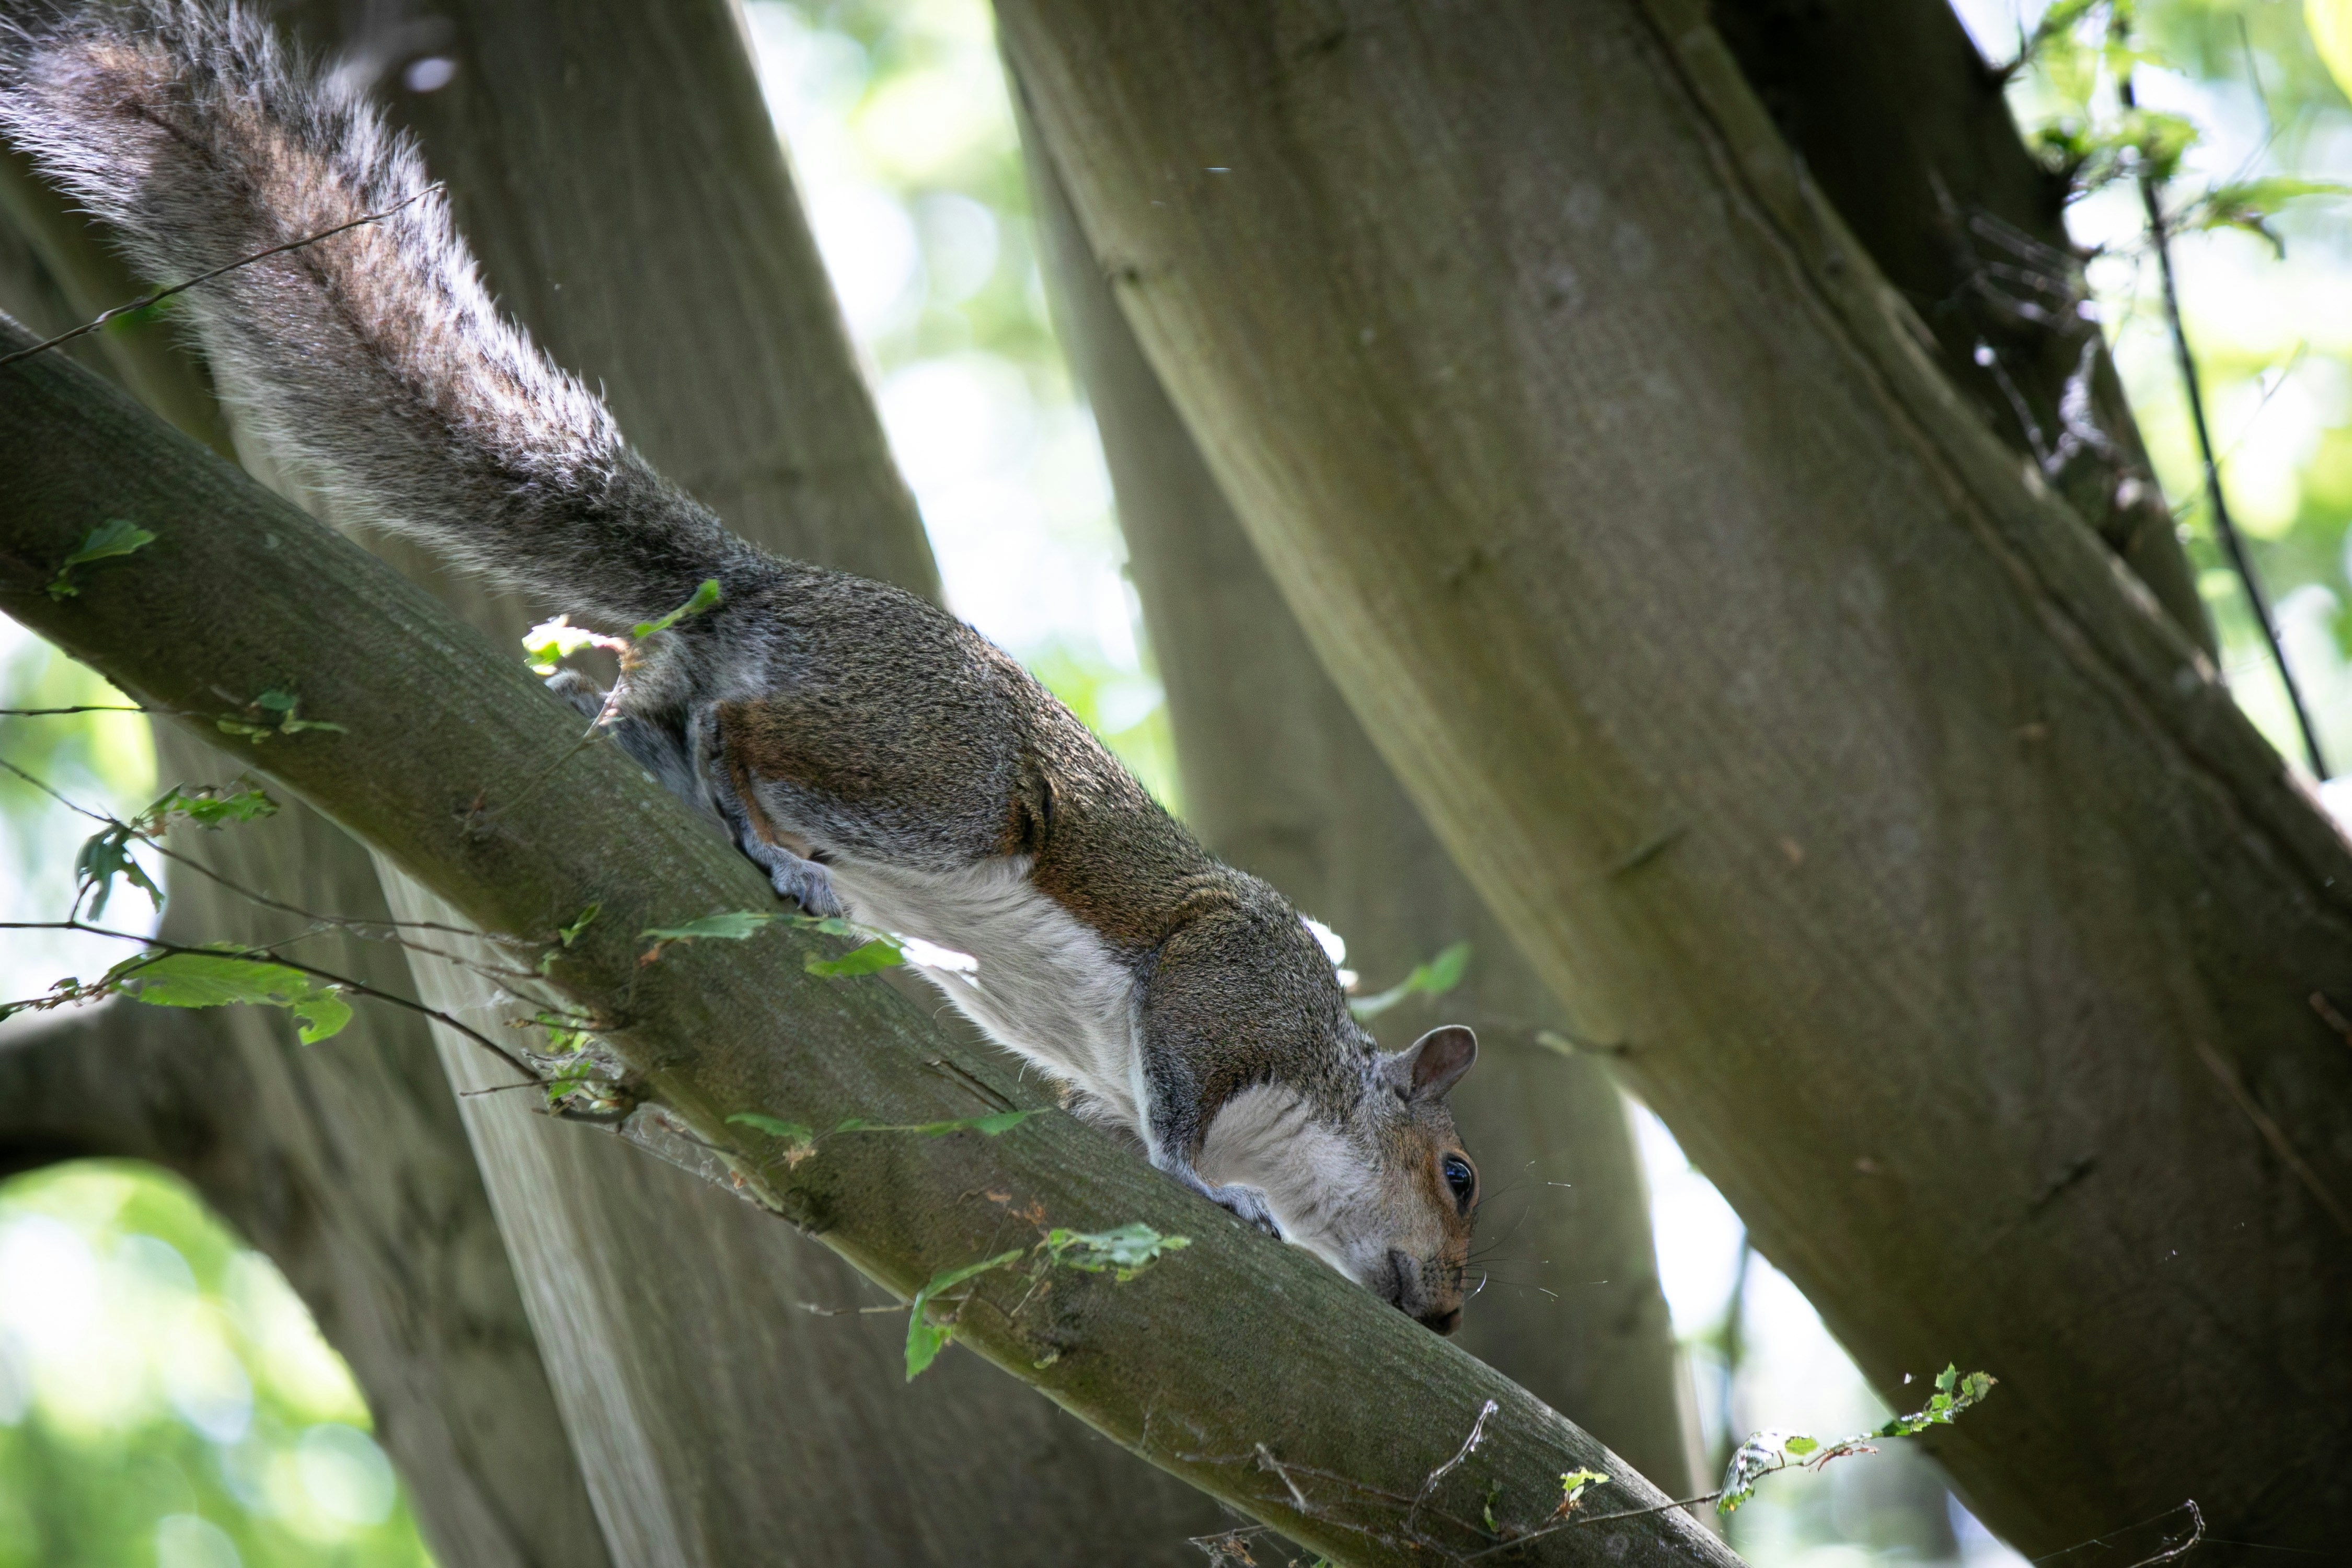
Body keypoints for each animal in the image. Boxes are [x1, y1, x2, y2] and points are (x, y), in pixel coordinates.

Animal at [1, 0, 1483, 1332]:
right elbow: (1177, 1111)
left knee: (668, 709)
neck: (1318, 1091)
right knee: (746, 737)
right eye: (1459, 1175)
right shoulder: (1229, 981)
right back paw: (768, 840)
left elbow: (1114, 1099)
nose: (1451, 1317)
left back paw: (636, 743)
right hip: (944, 777)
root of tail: (766, 587)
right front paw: (1213, 1191)